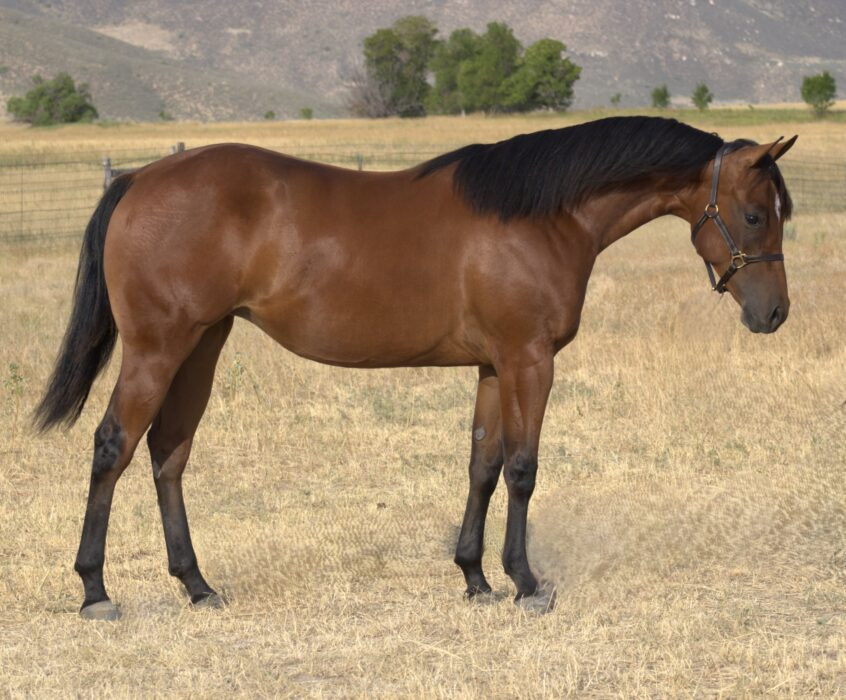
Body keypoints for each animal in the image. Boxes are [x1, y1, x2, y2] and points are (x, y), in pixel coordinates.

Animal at [35, 116, 797, 620]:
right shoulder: (529, 360)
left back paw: (196, 585)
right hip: (159, 346)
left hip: (202, 344)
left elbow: (483, 465)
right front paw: (526, 584)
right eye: (757, 215)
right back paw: (96, 591)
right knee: (114, 446)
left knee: (168, 452)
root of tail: (139, 179)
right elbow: (524, 468)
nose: (775, 314)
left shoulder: (493, 366)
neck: (541, 216)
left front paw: (475, 578)